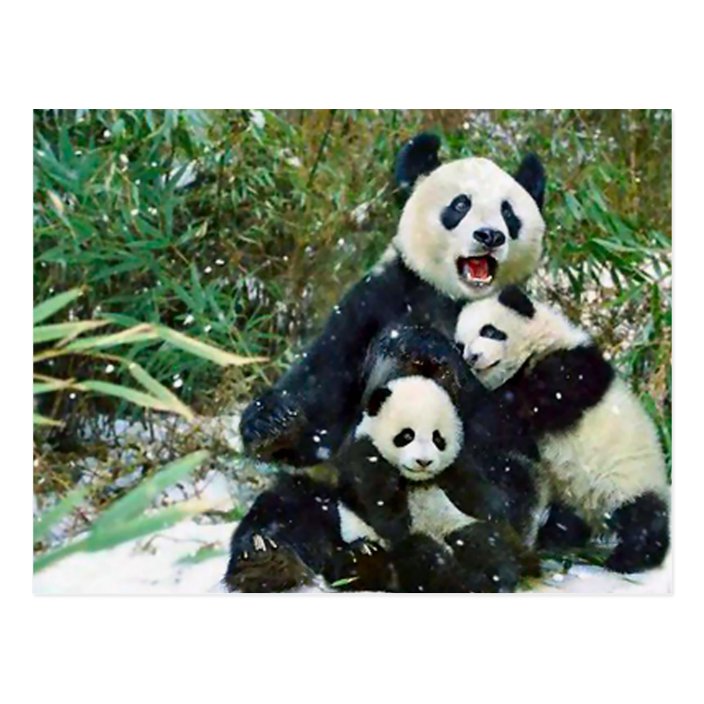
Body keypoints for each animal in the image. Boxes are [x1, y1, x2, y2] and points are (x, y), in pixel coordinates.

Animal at [240, 133, 547, 468]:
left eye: (508, 213)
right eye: (461, 204)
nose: (490, 235)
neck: (453, 296)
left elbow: (518, 436)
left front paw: (426, 345)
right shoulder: (377, 299)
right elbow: (322, 398)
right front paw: (270, 422)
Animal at [333, 374, 540, 593]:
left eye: (438, 438)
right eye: (407, 435)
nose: (424, 462)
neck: (417, 479)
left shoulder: (455, 463)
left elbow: (472, 484)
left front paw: (495, 508)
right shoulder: (365, 454)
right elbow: (377, 494)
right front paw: (397, 524)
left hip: (457, 523)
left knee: (481, 542)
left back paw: (496, 577)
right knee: (416, 555)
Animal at [453, 285, 670, 573]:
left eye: (489, 331)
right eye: (461, 345)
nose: (471, 357)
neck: (539, 347)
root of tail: (595, 512)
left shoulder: (572, 367)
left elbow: (542, 402)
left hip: (629, 476)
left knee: (643, 516)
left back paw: (631, 557)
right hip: (569, 495)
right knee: (566, 519)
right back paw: (557, 537)